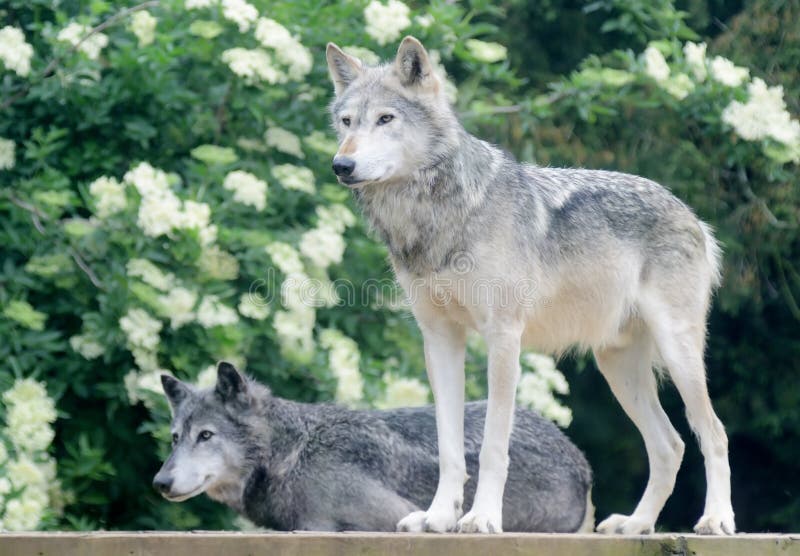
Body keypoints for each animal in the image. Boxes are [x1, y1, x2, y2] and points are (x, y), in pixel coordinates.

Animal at [152, 362, 593, 532]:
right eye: (175, 437)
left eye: (205, 435)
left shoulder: (390, 515)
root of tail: (580, 459)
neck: (291, 454)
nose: (160, 482)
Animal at [324, 36, 734, 535]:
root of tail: (693, 216)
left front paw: (482, 518)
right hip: (617, 368)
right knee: (670, 445)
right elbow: (448, 447)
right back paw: (635, 525)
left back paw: (716, 520)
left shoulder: (503, 337)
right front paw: (438, 517)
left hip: (677, 354)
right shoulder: (439, 339)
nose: (341, 164)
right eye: (347, 121)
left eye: (386, 119)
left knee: (713, 432)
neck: (440, 213)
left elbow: (493, 446)